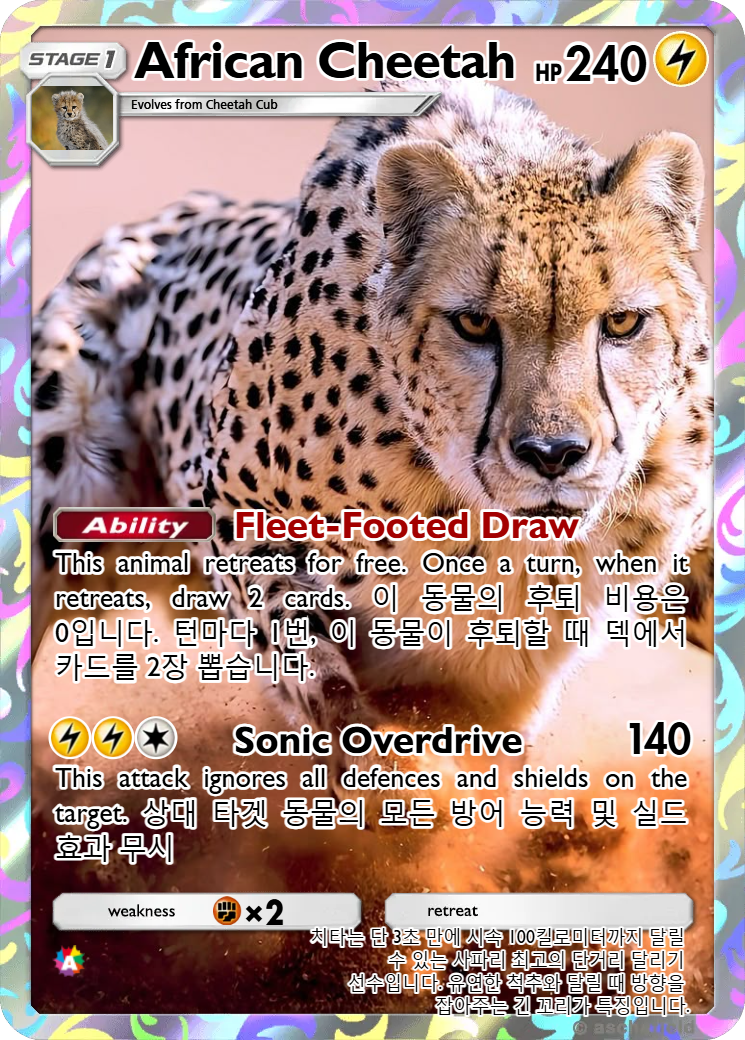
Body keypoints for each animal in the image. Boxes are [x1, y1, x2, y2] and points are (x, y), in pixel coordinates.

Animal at [31, 79, 713, 781]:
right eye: (473, 324)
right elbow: (295, 636)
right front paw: (354, 742)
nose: (553, 454)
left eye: (623, 323)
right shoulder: (223, 495)